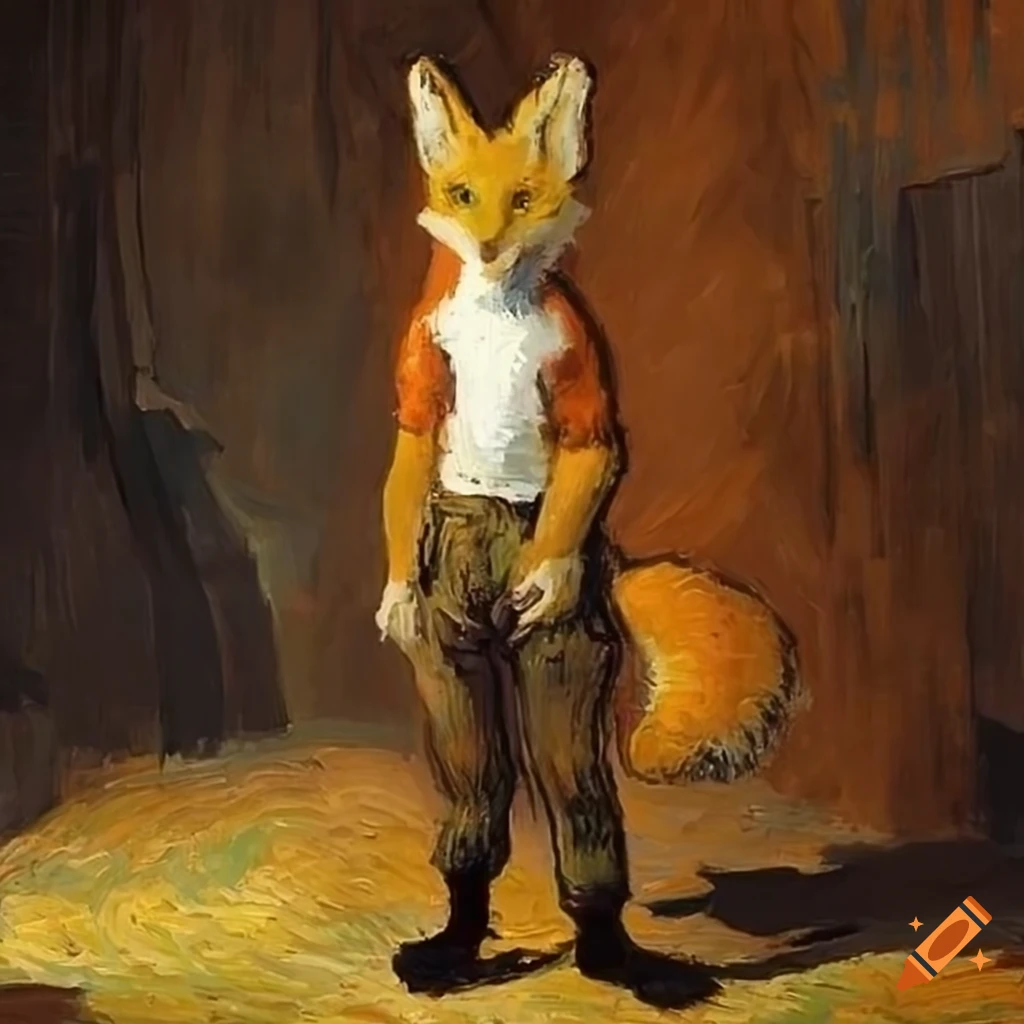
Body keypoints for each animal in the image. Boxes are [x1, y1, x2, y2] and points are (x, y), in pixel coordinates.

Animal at [375, 52, 802, 996]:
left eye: (524, 199)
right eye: (463, 195)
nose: (489, 248)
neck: (494, 319)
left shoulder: (585, 393)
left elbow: (585, 463)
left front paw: (540, 572)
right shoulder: (421, 383)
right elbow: (410, 455)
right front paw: (392, 600)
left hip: (565, 670)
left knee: (579, 802)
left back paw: (616, 960)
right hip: (458, 672)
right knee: (476, 803)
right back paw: (454, 947)